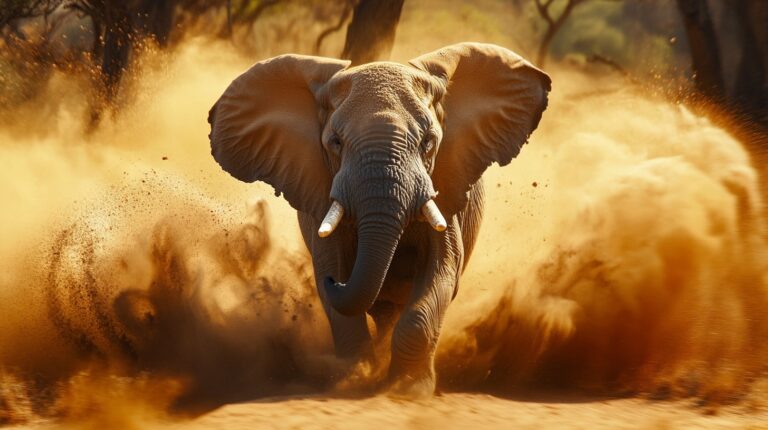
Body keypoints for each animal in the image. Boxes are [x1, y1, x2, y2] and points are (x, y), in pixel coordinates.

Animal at [207, 42, 551, 396]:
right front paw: (353, 380)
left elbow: (441, 271)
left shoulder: (445, 188)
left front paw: (408, 389)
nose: (335, 282)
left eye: (428, 143)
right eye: (335, 143)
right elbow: (335, 287)